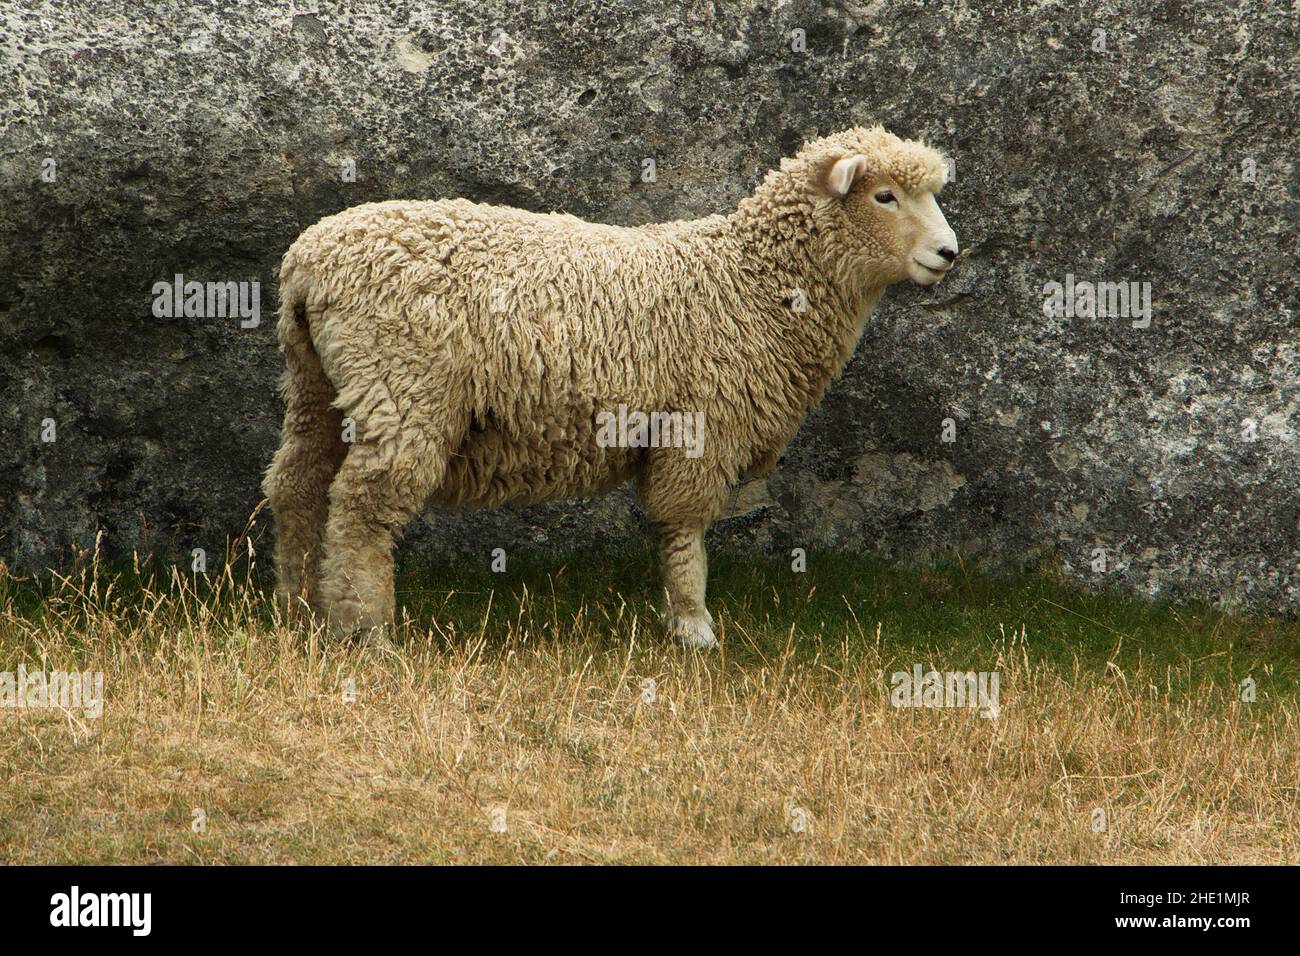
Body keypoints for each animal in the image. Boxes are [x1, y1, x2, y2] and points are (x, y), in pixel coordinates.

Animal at [263, 125, 958, 648]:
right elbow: (683, 526)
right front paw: (693, 625)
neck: (750, 282)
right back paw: (367, 631)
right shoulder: (699, 425)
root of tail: (307, 262)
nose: (949, 253)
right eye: (885, 196)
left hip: (318, 381)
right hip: (403, 387)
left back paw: (297, 610)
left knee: (298, 483)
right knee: (363, 503)